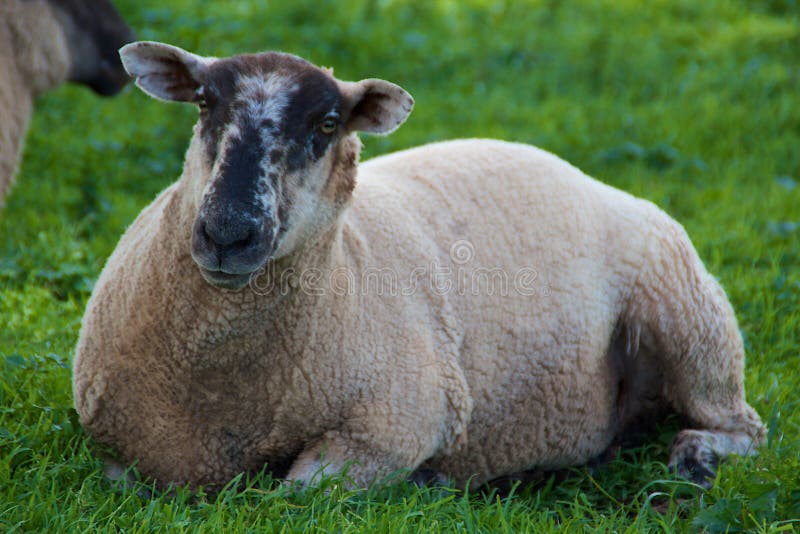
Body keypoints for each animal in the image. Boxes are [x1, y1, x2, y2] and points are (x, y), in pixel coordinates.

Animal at [73, 40, 766, 491]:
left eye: (328, 123)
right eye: (203, 103)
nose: (228, 233)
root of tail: (588, 177)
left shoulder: (396, 424)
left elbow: (294, 494)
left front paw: (425, 482)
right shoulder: (120, 445)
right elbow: (121, 481)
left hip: (690, 320)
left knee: (745, 427)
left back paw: (697, 459)